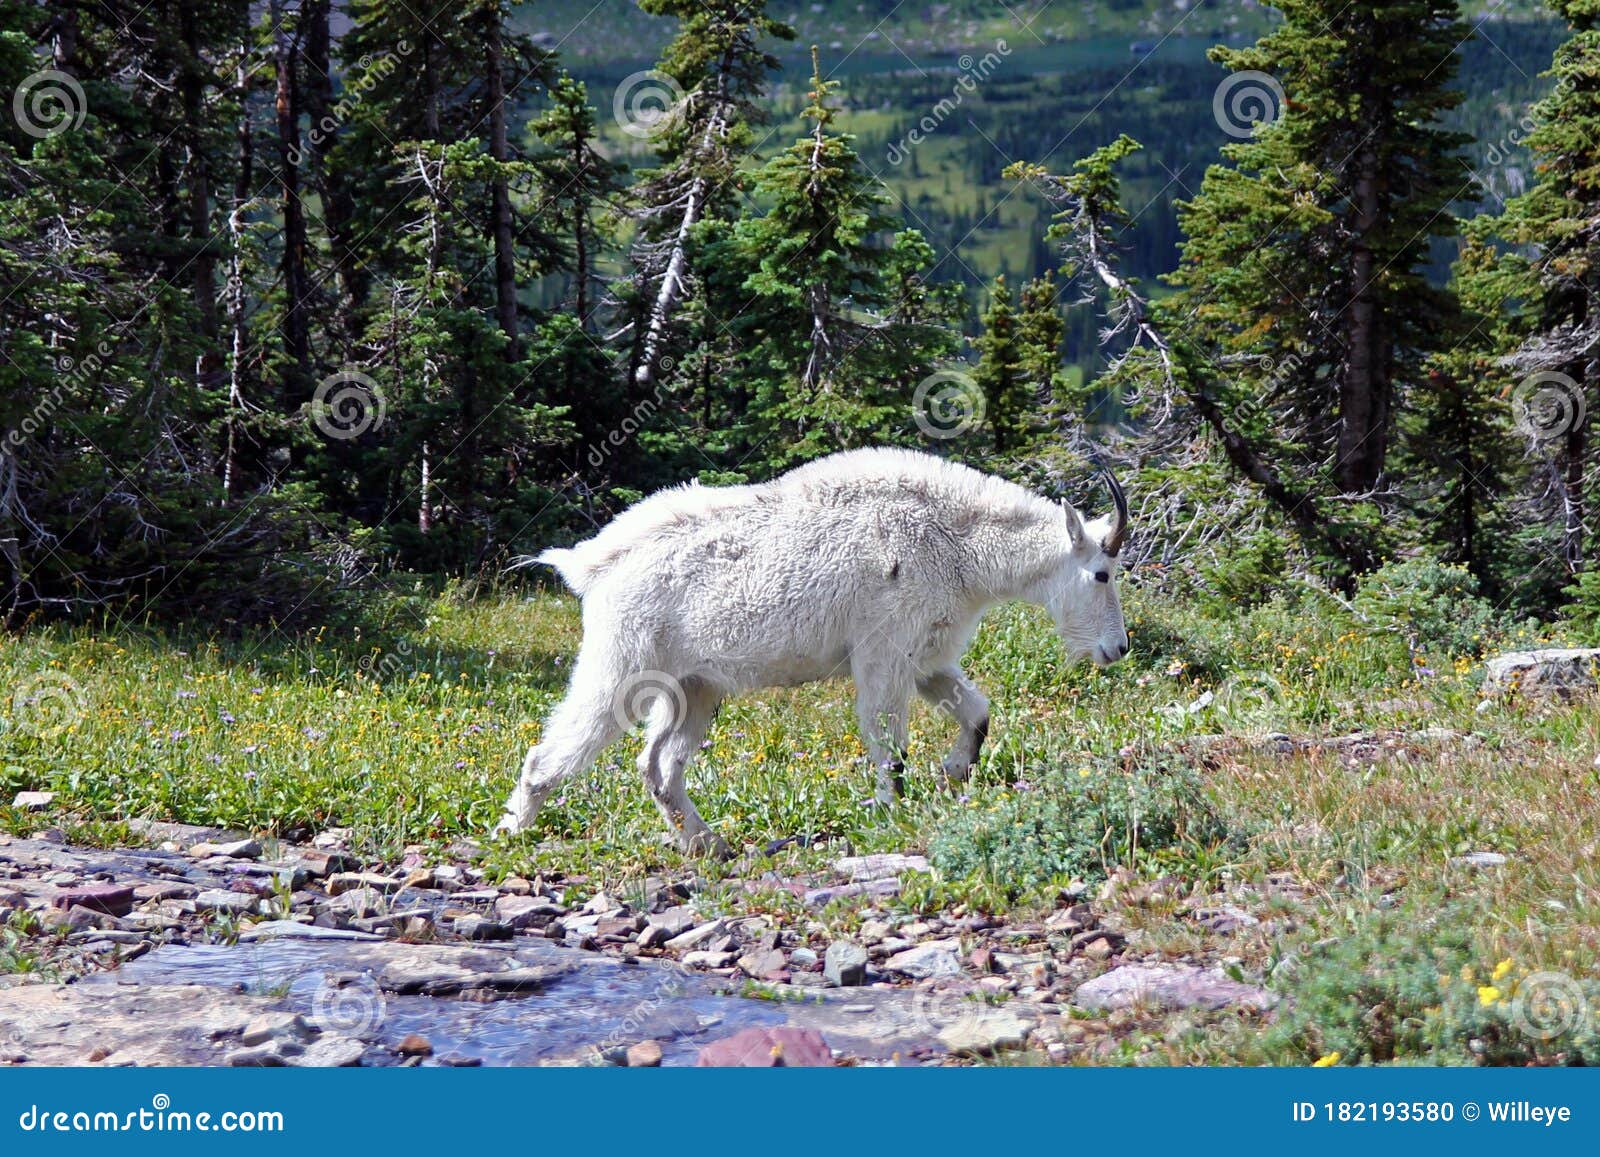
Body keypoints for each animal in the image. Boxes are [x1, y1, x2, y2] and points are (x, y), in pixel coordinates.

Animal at [497, 447, 1131, 856]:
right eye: (1102, 573)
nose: (1118, 648)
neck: (960, 543)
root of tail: (590, 565)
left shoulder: (926, 655)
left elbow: (977, 712)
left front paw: (953, 771)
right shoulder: (883, 649)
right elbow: (887, 743)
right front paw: (892, 812)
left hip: (693, 685)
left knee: (658, 764)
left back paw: (709, 843)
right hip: (623, 662)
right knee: (553, 751)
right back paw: (512, 831)